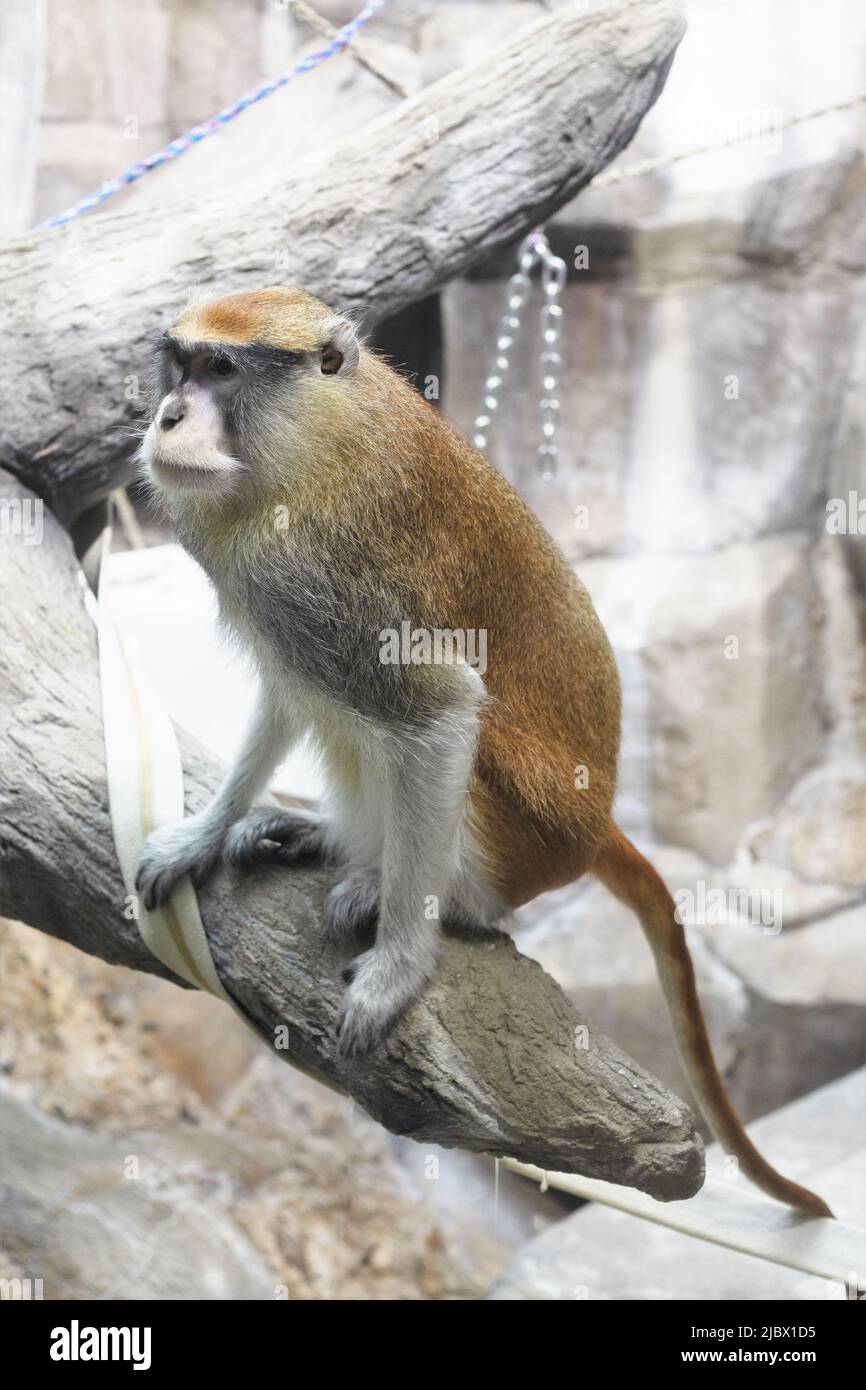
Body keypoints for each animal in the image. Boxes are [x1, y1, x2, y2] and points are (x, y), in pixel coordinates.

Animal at [135, 285, 831, 1219]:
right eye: (179, 366)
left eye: (220, 370)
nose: (169, 415)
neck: (314, 439)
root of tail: (592, 824)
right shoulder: (274, 588)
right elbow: (289, 689)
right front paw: (205, 835)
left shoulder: (326, 573)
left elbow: (442, 711)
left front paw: (400, 965)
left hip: (522, 835)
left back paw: (416, 891)